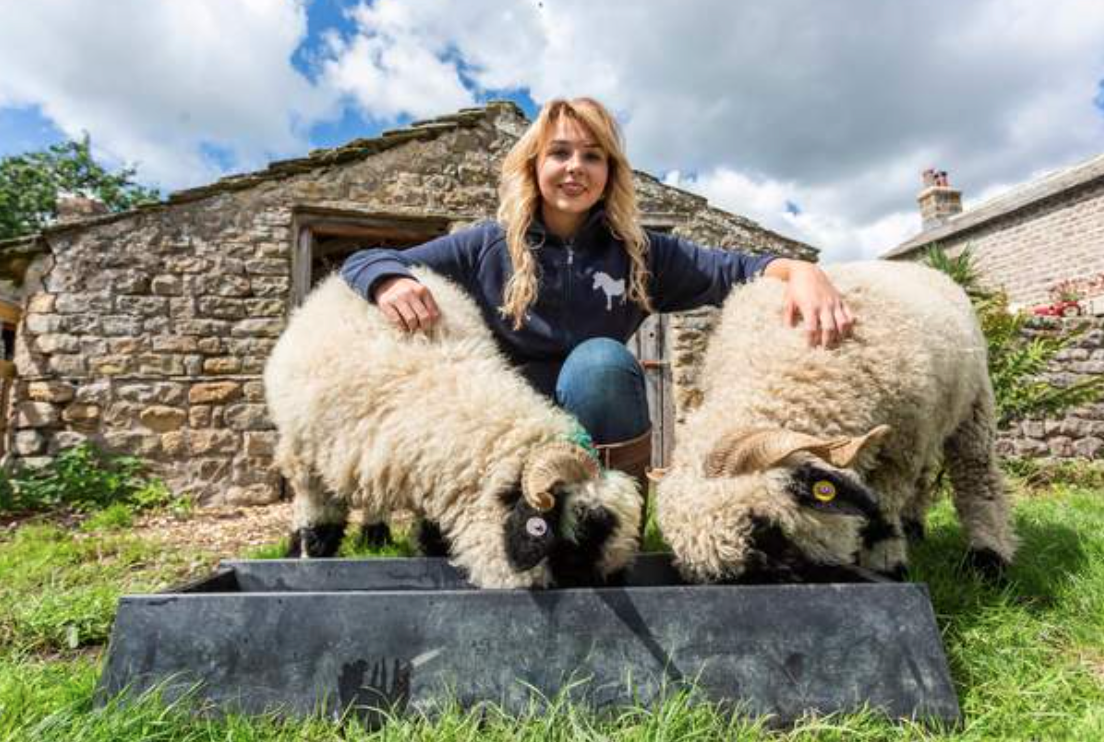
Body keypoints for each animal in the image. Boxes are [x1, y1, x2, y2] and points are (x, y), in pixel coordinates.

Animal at [263, 269, 642, 589]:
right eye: (584, 536)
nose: (610, 582)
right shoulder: (307, 463)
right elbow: (317, 521)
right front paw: (304, 555)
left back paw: (376, 535)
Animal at [655, 260, 1017, 584]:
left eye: (764, 529)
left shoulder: (900, 448)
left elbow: (882, 512)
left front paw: (888, 564)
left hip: (973, 405)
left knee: (976, 475)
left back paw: (989, 560)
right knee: (925, 479)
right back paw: (915, 529)